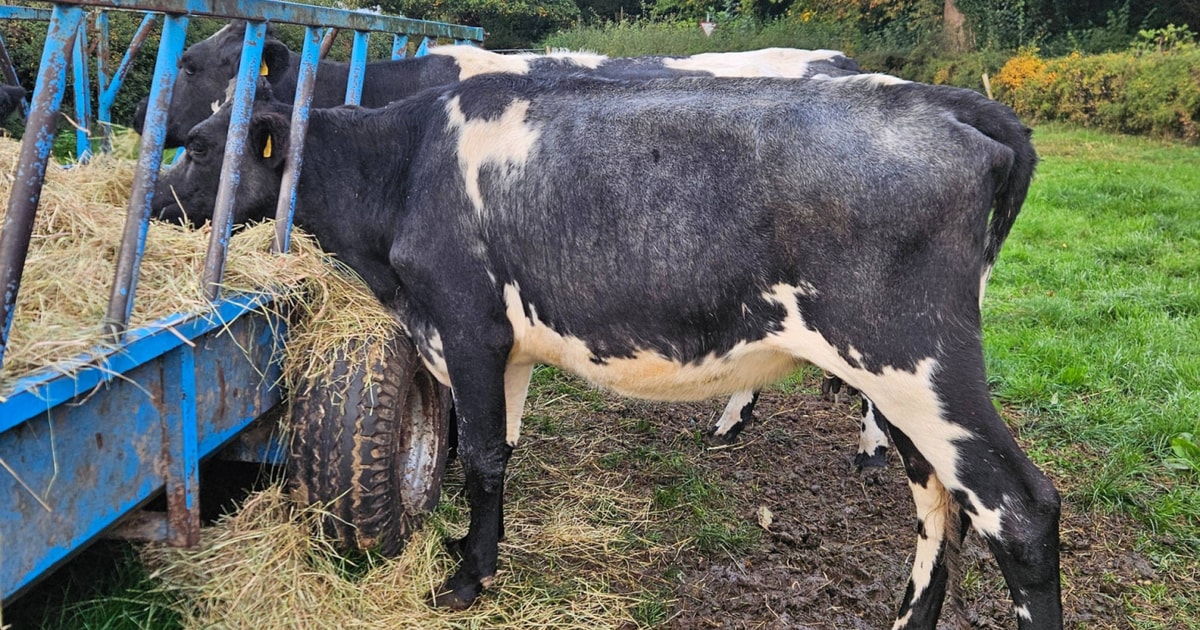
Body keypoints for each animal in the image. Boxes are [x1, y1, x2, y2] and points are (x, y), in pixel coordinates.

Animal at [152, 74, 1058, 629]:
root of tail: (944, 105)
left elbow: (481, 456)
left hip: (914, 358)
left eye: (194, 147)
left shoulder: (468, 323)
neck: (401, 170)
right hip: (900, 380)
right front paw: (471, 551)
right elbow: (498, 450)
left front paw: (467, 580)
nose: (154, 203)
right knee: (939, 501)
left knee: (1017, 509)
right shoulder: (505, 349)